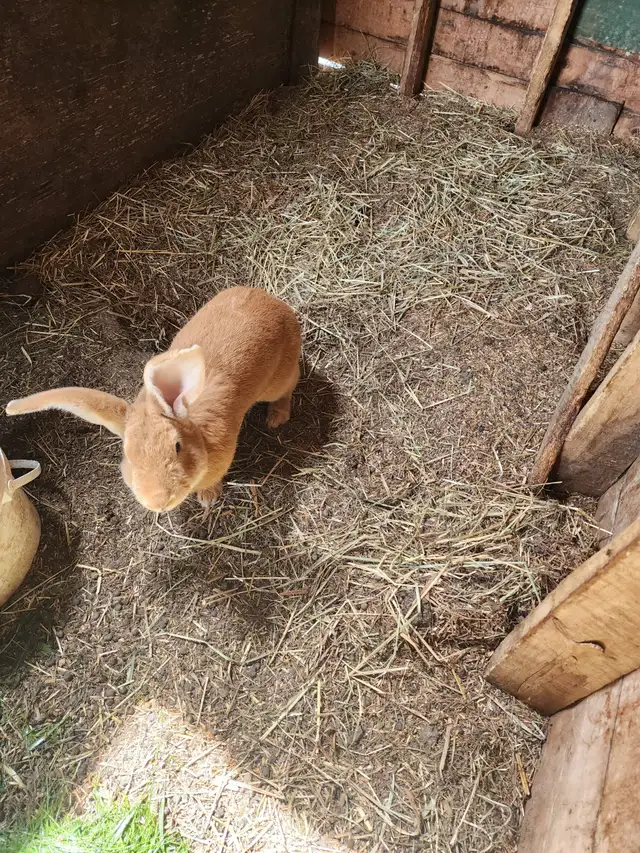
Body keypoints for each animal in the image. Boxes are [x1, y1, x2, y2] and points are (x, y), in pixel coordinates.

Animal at [6, 286, 301, 512]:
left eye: (177, 446)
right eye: (128, 455)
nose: (158, 501)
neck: (200, 437)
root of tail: (271, 301)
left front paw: (208, 498)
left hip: (279, 380)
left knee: (290, 384)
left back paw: (277, 417)